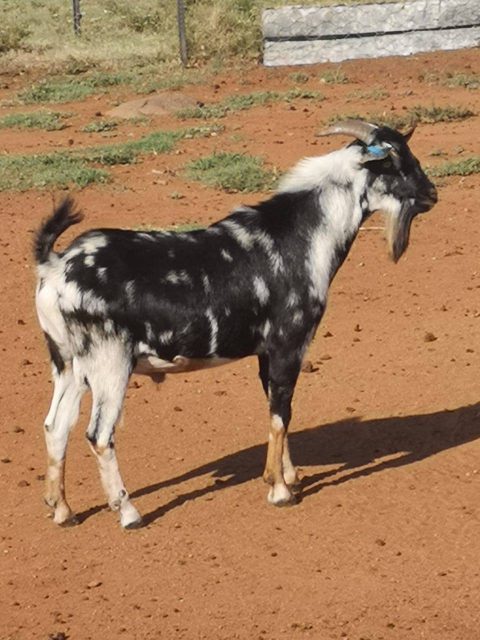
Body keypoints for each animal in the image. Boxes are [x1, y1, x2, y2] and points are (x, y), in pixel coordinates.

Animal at [34, 120, 437, 528]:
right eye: (394, 164)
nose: (431, 194)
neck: (304, 235)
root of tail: (54, 265)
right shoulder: (289, 343)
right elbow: (280, 412)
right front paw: (280, 492)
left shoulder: (266, 352)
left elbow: (277, 408)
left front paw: (286, 475)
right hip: (109, 364)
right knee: (99, 435)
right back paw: (129, 512)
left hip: (67, 363)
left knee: (56, 426)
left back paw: (62, 509)